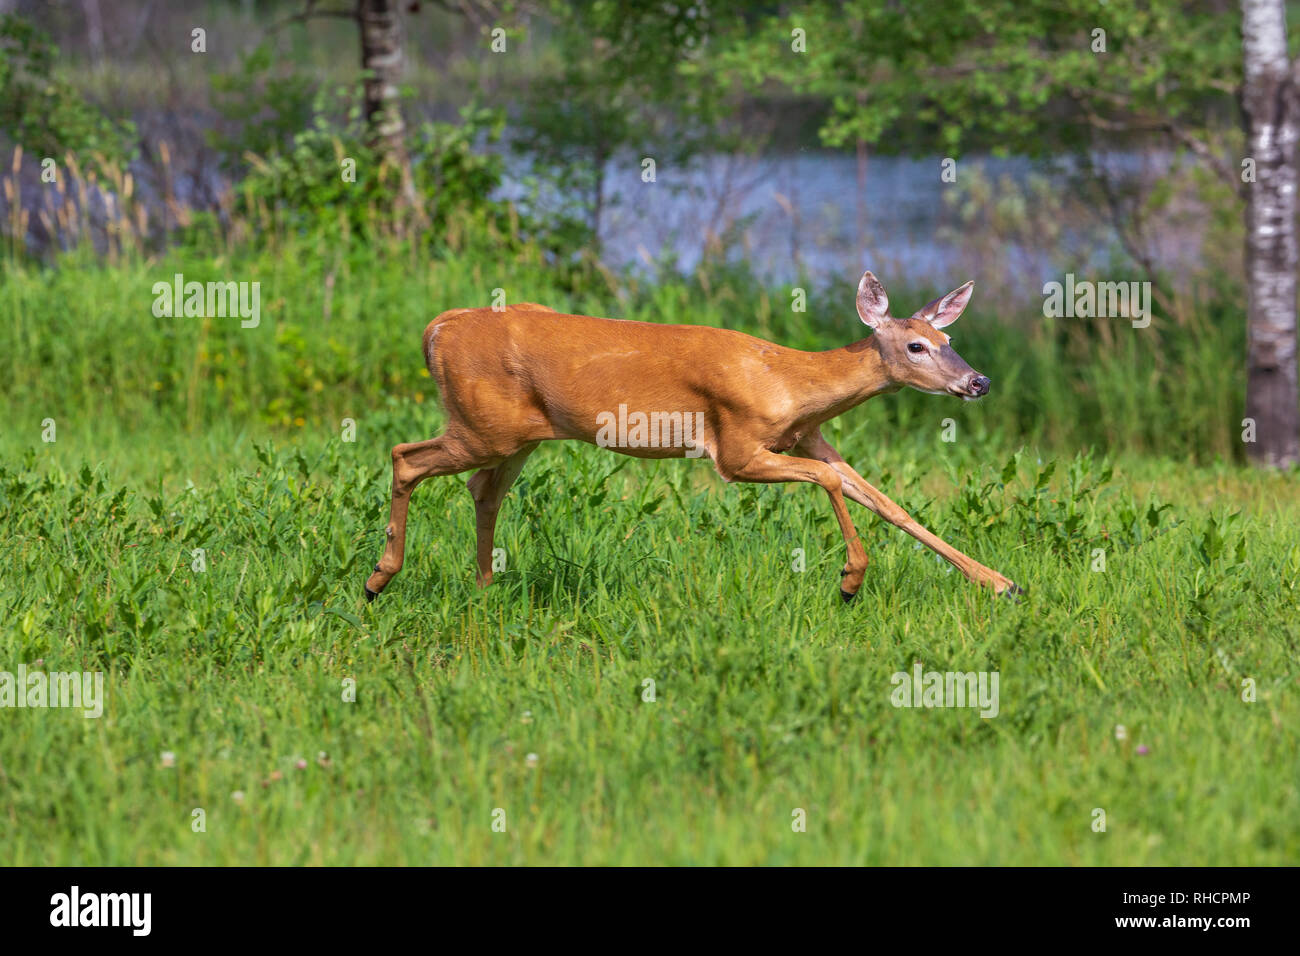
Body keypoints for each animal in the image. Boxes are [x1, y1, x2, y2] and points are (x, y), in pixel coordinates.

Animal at [364, 270, 1025, 604]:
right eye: (915, 346)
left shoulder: (807, 436)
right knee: (404, 458)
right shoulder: (735, 450)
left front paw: (1002, 584)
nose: (979, 381)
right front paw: (850, 581)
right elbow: (832, 482)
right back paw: (378, 580)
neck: (791, 382)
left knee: (481, 490)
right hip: (483, 428)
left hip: (512, 435)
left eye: (947, 340)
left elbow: (889, 503)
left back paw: (483, 588)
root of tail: (435, 329)